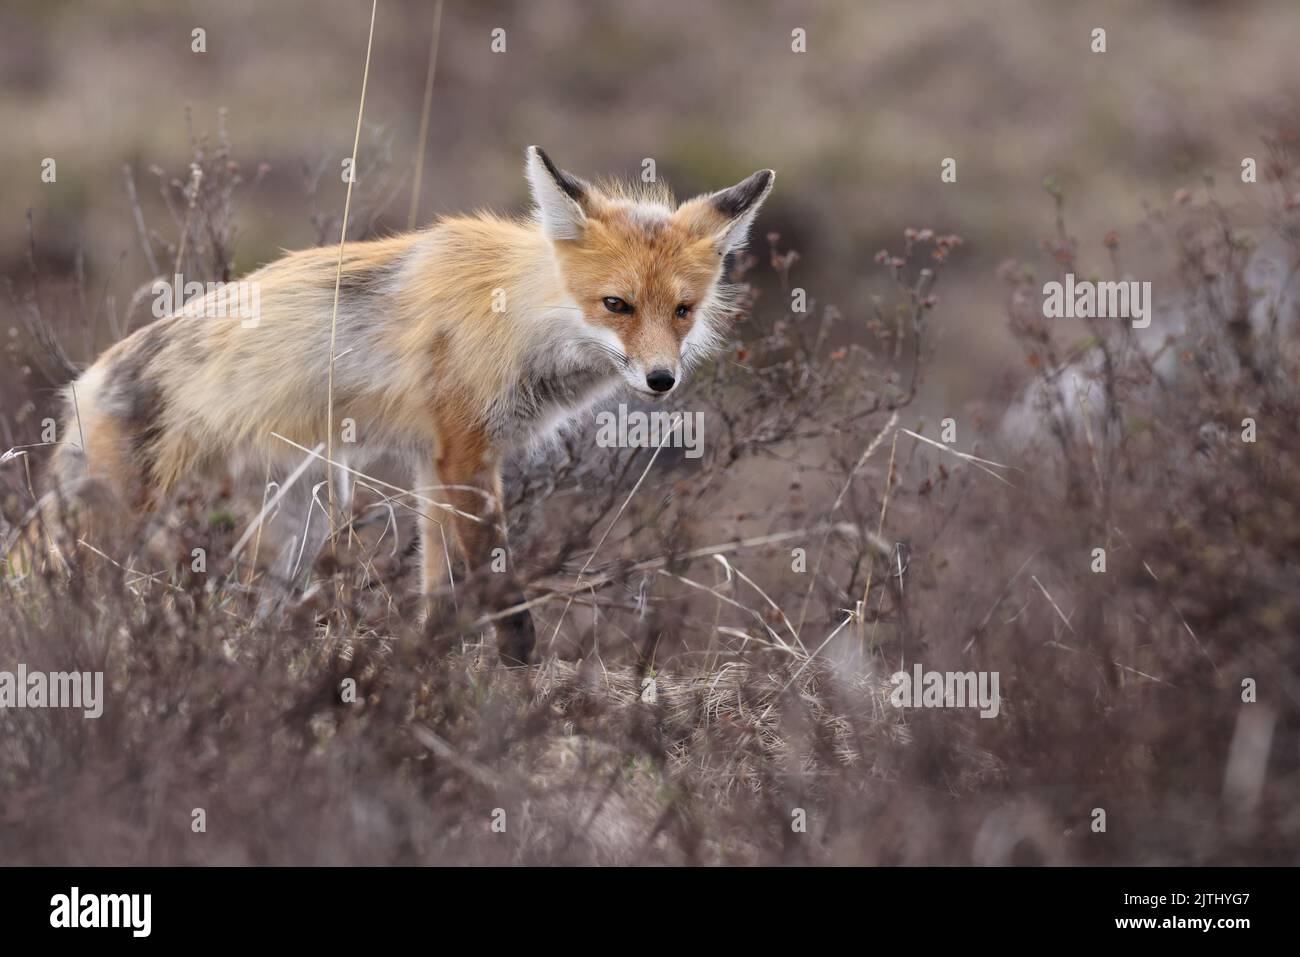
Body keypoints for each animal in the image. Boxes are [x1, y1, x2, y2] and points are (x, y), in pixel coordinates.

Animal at [12, 147, 774, 664]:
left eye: (682, 310)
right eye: (616, 305)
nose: (661, 380)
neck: (517, 318)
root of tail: (82, 382)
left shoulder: (435, 465)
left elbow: (438, 587)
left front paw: (427, 667)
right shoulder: (464, 452)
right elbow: (496, 576)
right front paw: (516, 660)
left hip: (302, 521)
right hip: (129, 524)